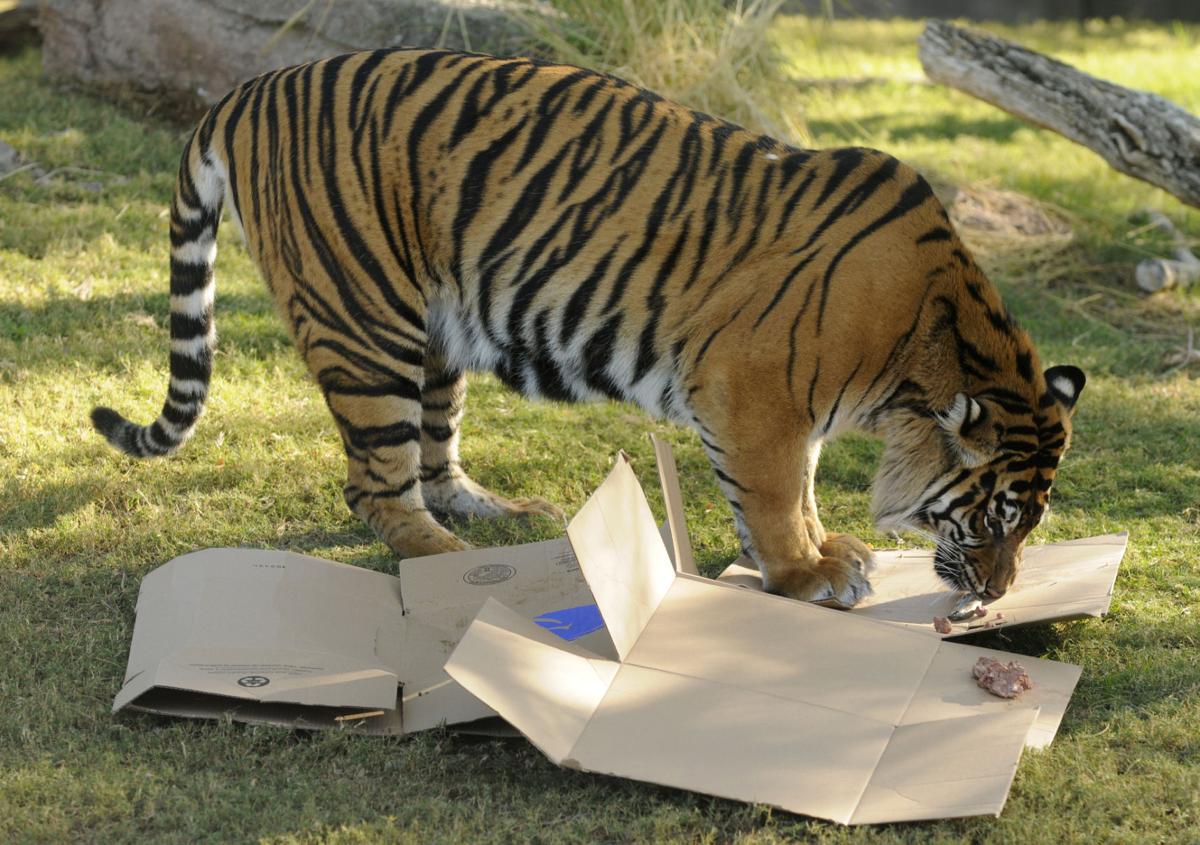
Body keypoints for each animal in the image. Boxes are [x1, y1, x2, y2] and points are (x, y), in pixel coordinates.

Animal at [90, 48, 1085, 608]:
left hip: (436, 326)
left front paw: (826, 548)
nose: (998, 595)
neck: (924, 356)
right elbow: (771, 494)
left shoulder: (789, 411)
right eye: (993, 519)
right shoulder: (753, 394)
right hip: (365, 319)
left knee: (431, 447)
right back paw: (441, 552)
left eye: (1028, 525)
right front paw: (804, 573)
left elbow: (796, 487)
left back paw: (488, 509)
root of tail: (249, 88)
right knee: (374, 482)